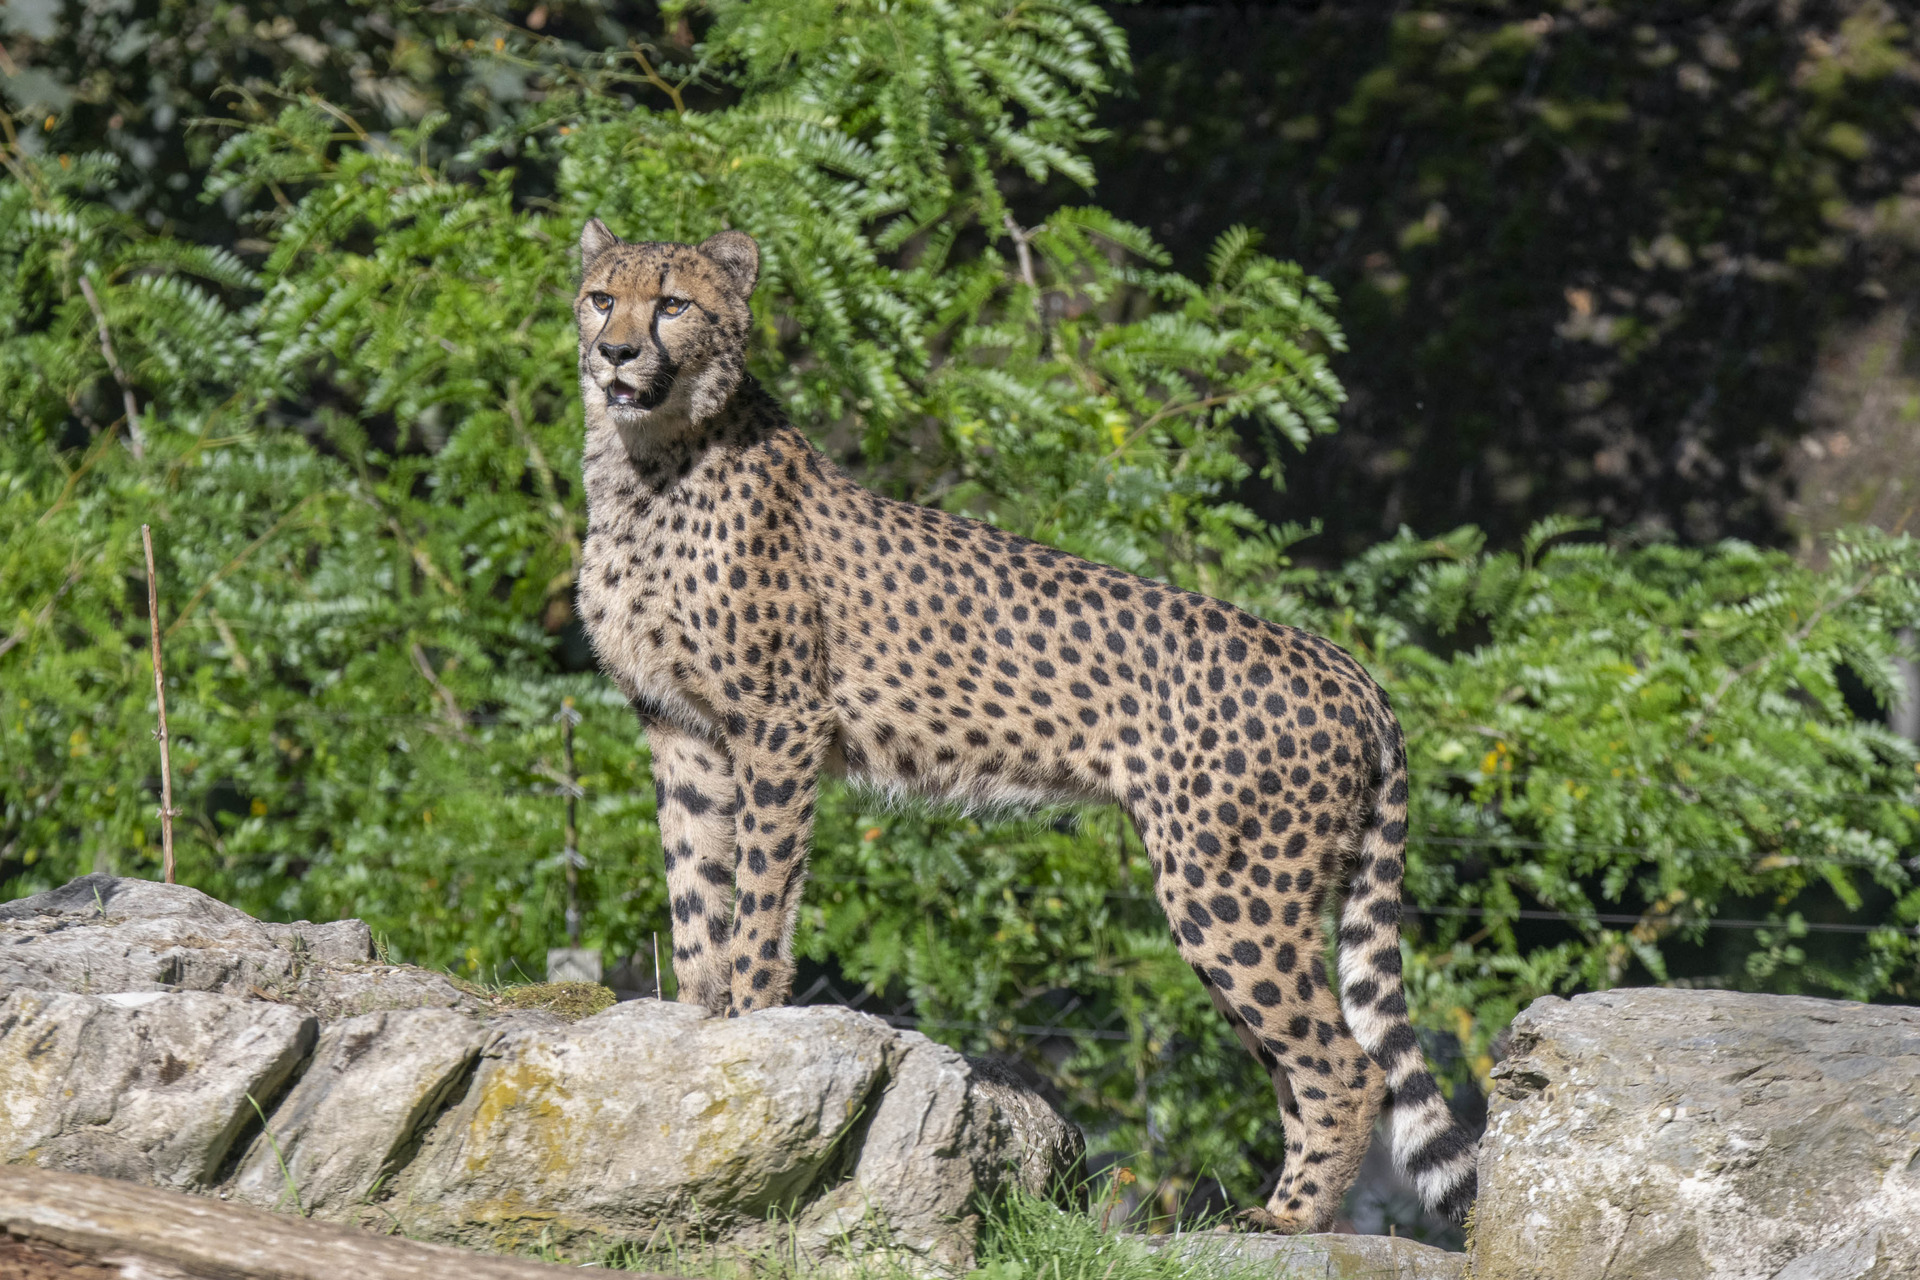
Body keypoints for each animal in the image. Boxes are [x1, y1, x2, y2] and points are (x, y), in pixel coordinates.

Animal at [570, 218, 1478, 1231]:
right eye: (604, 298)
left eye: (673, 304)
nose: (616, 352)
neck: (648, 459)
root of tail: (1349, 667)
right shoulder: (679, 727)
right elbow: (694, 884)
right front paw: (694, 1028)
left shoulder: (779, 722)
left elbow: (761, 891)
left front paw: (753, 1023)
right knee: (1294, 1061)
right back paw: (1273, 1209)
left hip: (1229, 885)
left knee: (1343, 1065)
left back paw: (1288, 1221)